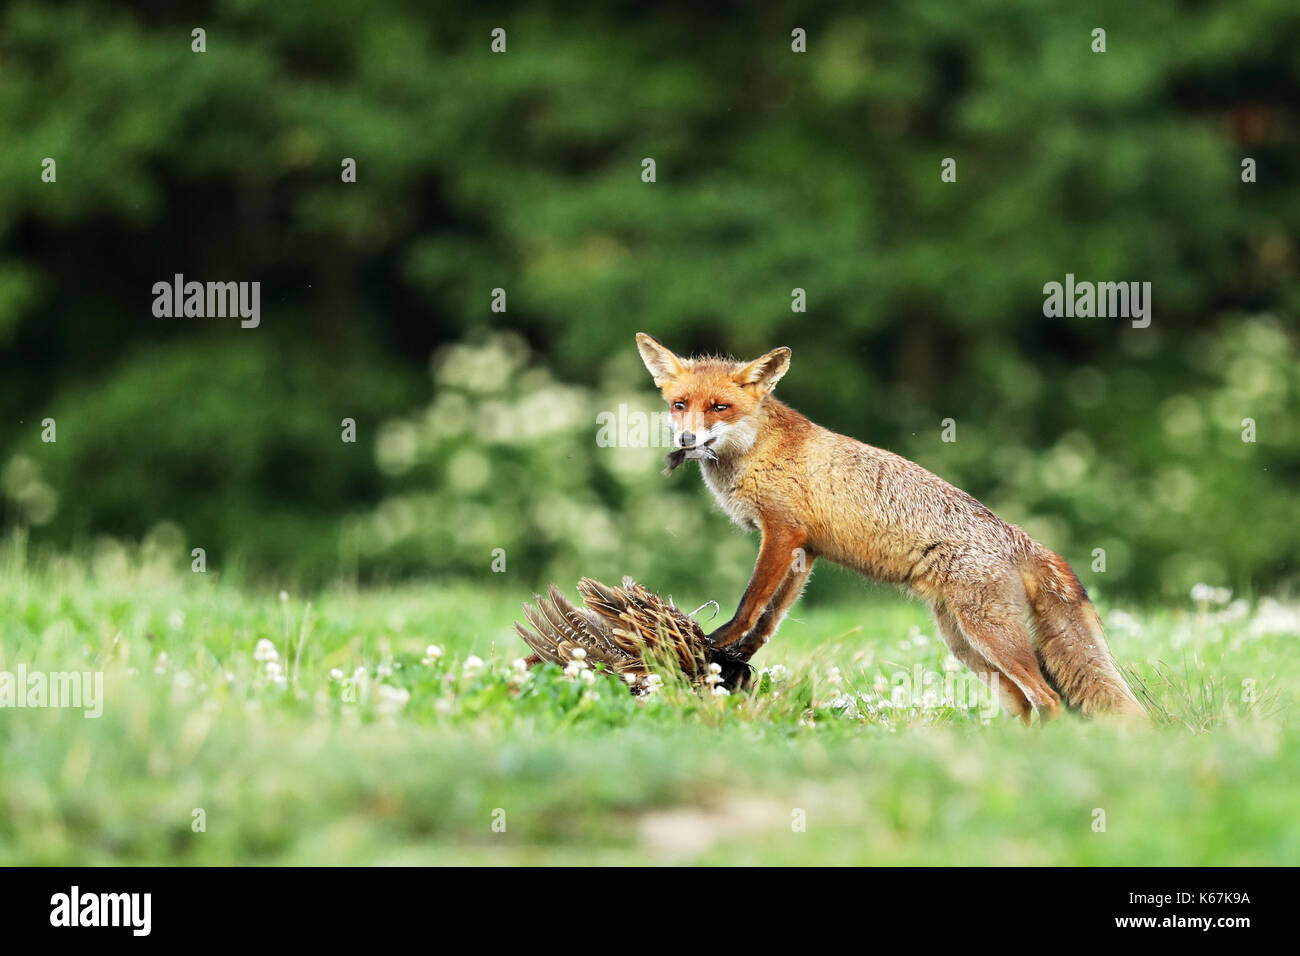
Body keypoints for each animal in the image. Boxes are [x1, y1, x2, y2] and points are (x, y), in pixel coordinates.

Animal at [636, 332, 1146, 722]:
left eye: (719, 407)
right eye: (679, 404)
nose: (685, 439)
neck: (756, 451)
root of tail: (1014, 534)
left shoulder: (781, 531)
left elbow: (751, 601)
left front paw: (718, 641)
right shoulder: (805, 550)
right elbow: (772, 617)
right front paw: (737, 656)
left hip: (988, 635)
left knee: (1049, 698)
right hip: (966, 646)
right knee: (1023, 703)